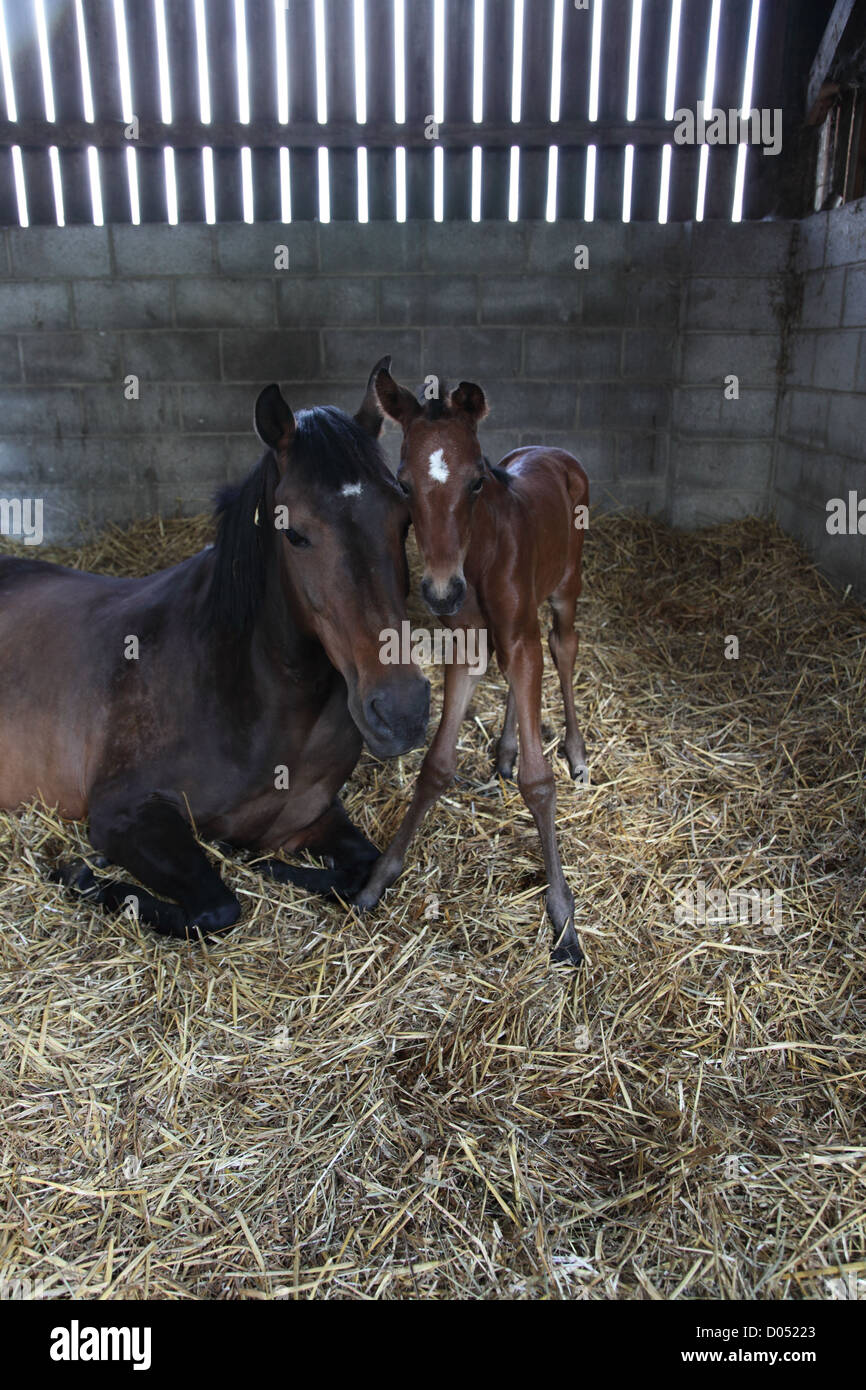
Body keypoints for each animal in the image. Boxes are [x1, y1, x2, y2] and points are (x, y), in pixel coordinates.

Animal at [0, 358, 430, 940]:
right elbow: (218, 906)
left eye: (403, 520)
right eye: (295, 534)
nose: (402, 711)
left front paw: (259, 861)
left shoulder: (315, 816)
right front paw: (82, 876)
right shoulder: (121, 814)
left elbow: (365, 873)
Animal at [353, 365, 588, 966]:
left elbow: (539, 782)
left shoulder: (521, 631)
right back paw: (504, 750)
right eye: (403, 484)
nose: (440, 591)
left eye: (476, 482)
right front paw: (379, 878)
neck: (479, 554)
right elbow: (435, 765)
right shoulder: (466, 642)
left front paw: (563, 917)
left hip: (566, 587)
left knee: (563, 647)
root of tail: (554, 451)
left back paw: (576, 752)